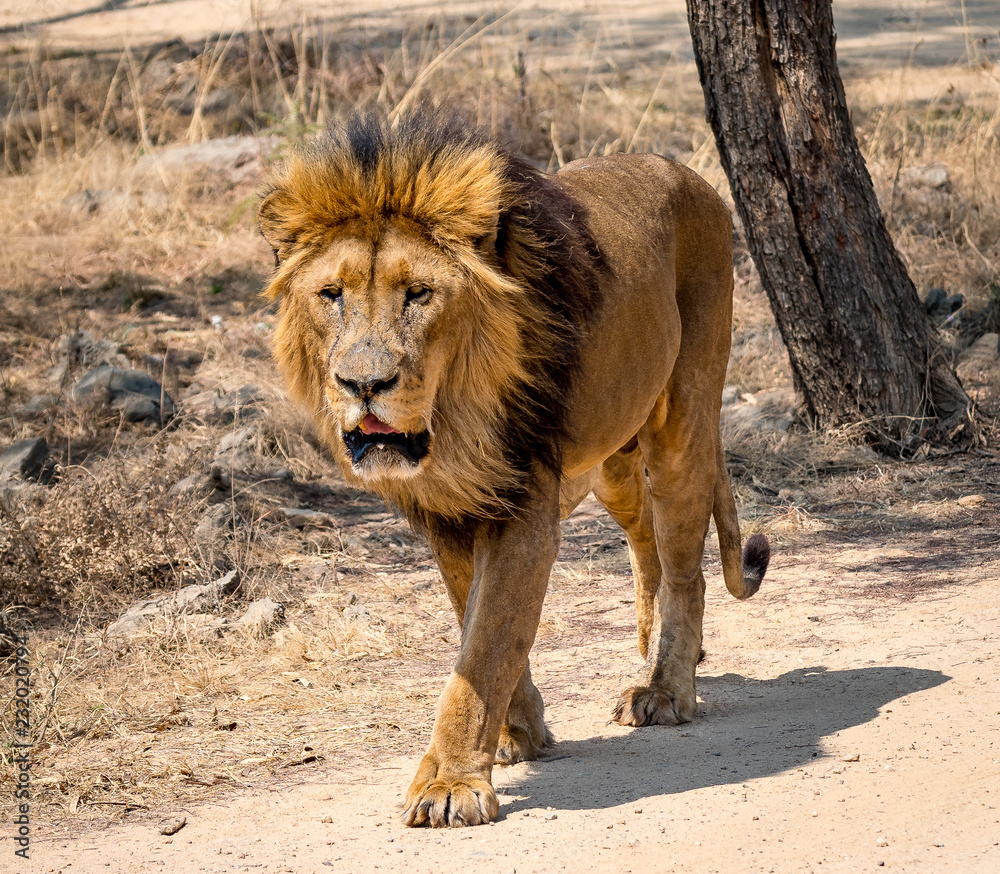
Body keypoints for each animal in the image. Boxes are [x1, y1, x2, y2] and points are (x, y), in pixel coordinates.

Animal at [259, 111, 770, 828]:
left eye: (419, 294)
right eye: (330, 294)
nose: (364, 384)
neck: (453, 427)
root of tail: (690, 175)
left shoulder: (522, 502)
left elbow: (488, 639)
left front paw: (450, 782)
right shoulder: (450, 512)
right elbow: (477, 628)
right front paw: (516, 729)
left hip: (684, 415)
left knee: (683, 563)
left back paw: (666, 688)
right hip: (609, 457)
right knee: (647, 539)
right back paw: (662, 652)